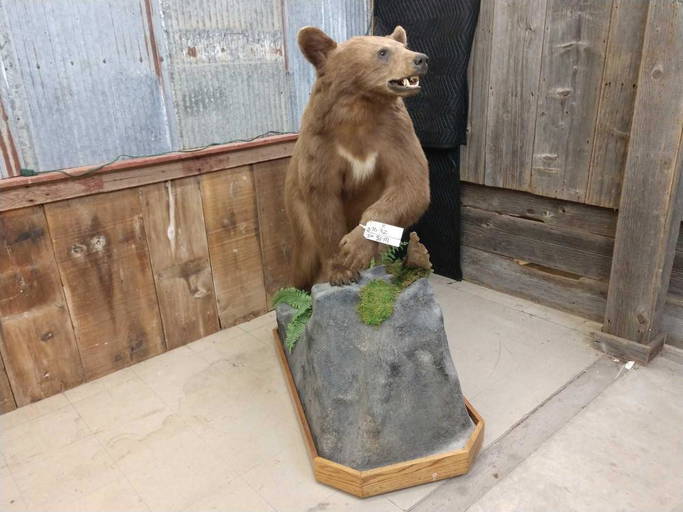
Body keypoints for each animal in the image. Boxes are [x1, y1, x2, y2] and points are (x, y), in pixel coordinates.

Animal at [285, 25, 430, 289]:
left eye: (403, 46)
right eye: (382, 52)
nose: (421, 59)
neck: (361, 109)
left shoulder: (395, 134)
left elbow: (410, 185)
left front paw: (354, 248)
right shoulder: (321, 142)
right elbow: (324, 200)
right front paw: (341, 270)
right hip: (297, 213)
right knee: (304, 258)